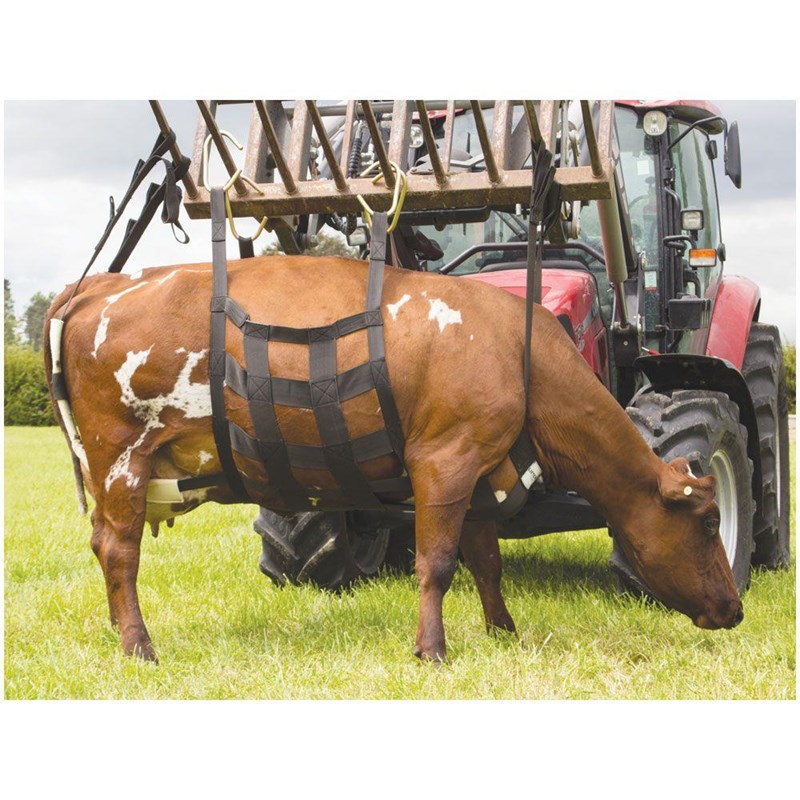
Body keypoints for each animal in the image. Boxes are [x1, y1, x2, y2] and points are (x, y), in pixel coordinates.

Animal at [45, 256, 743, 663]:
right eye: (709, 523)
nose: (736, 609)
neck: (523, 352)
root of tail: (100, 283)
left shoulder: (482, 471)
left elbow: (485, 560)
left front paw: (503, 630)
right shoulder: (445, 457)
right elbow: (436, 564)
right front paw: (432, 649)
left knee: (104, 543)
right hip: (121, 455)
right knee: (118, 550)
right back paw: (138, 645)